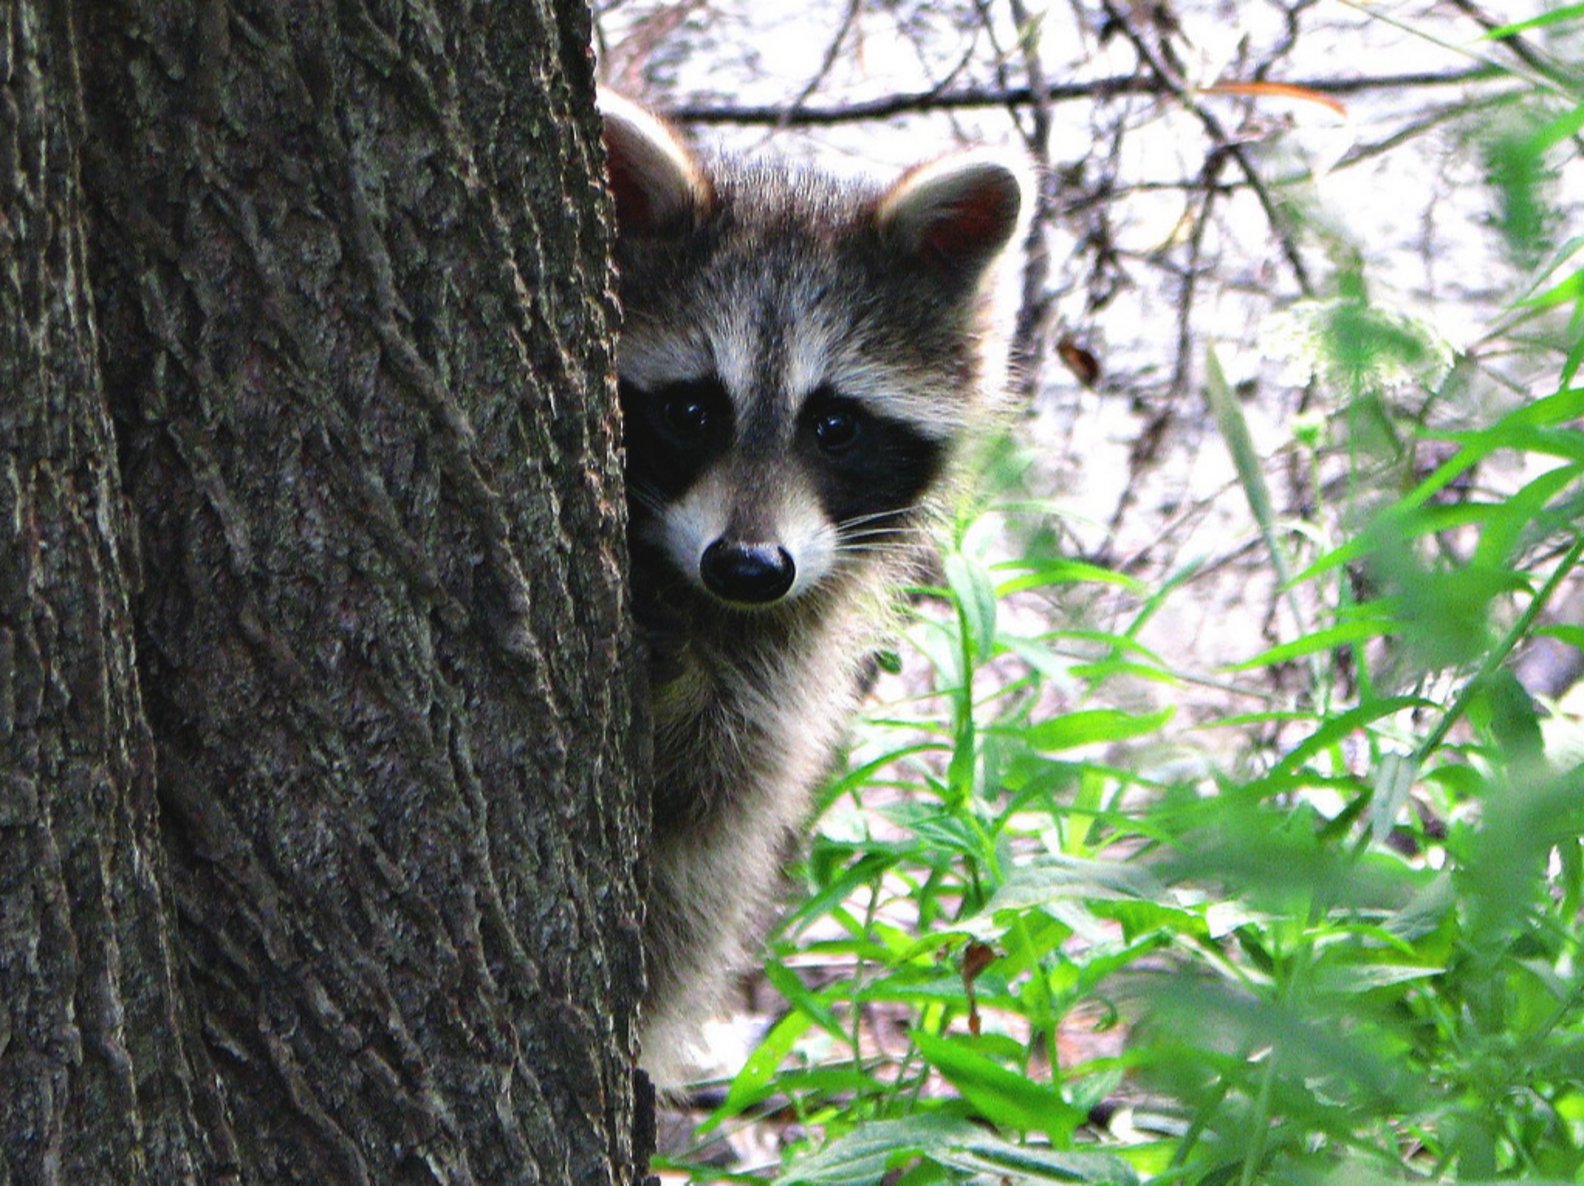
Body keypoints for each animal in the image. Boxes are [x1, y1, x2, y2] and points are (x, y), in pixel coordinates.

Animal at [600, 92, 1028, 1087]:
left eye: (835, 424)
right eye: (691, 410)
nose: (749, 567)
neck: (705, 602)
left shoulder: (776, 673)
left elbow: (713, 797)